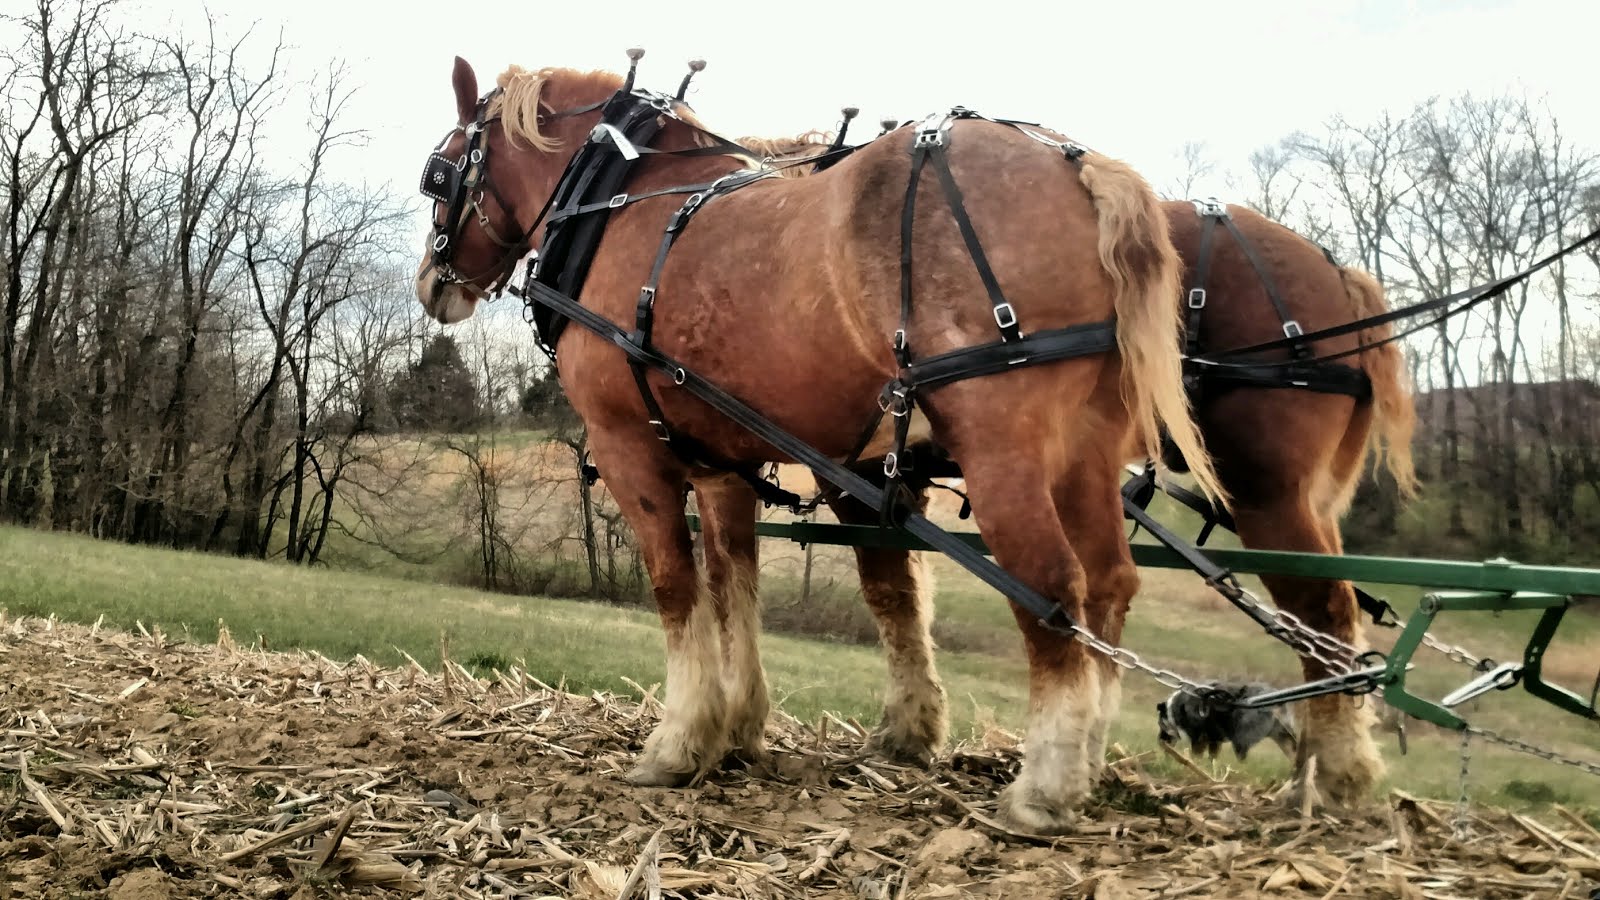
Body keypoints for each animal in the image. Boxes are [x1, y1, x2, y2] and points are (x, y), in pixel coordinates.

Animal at [412, 56, 1223, 832]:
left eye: (441, 172)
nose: (430, 283)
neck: (616, 207)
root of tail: (1078, 166)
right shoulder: (720, 466)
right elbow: (734, 585)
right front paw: (737, 729)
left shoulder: (629, 449)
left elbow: (676, 587)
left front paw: (677, 743)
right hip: (1084, 453)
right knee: (1109, 584)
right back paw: (1086, 759)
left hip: (1005, 454)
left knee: (1053, 589)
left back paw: (1044, 787)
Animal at [742, 131, 1419, 807]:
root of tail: (1338, 274)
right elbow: (906, 589)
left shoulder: (854, 465)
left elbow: (886, 587)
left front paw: (908, 730)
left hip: (1268, 493)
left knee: (1320, 609)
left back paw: (1332, 773)